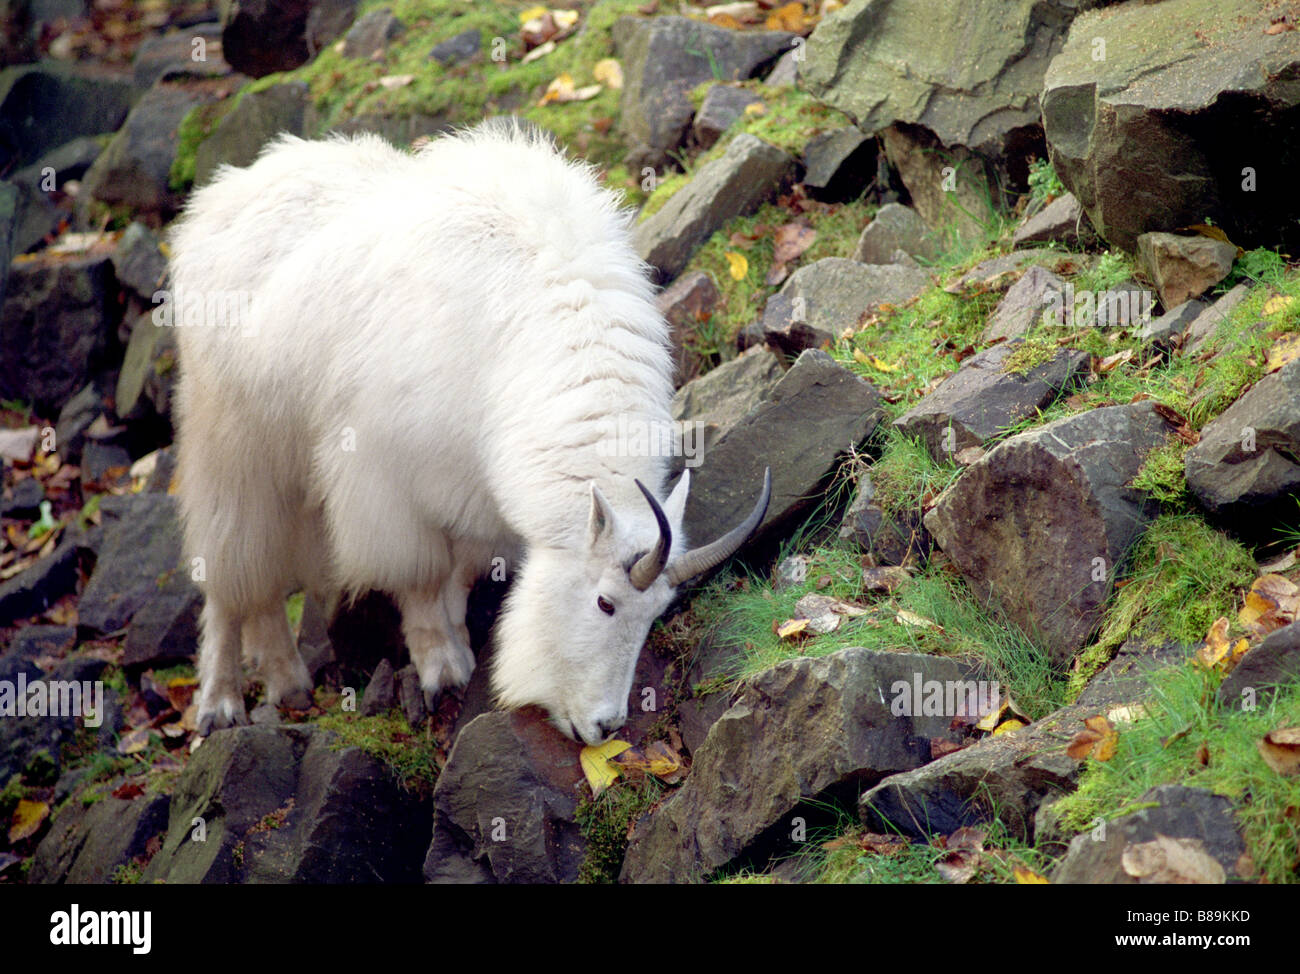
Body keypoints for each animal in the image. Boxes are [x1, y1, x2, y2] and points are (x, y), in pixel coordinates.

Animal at [167, 118, 769, 746]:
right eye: (605, 603)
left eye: (655, 615)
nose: (605, 726)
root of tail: (217, 200)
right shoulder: (386, 480)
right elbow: (421, 574)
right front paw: (443, 669)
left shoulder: (475, 494)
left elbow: (458, 577)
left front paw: (457, 647)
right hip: (231, 446)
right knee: (229, 573)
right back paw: (220, 703)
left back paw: (287, 683)